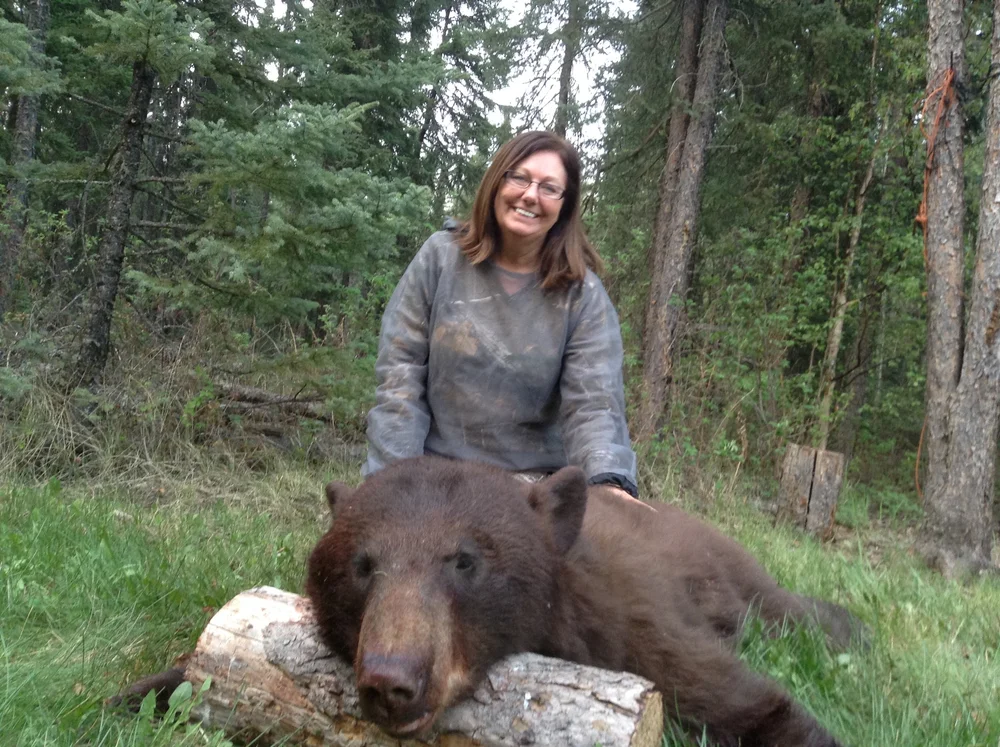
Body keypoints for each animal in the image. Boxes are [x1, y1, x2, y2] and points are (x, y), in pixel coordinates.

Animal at [306, 455, 863, 747]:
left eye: (464, 561)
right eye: (361, 566)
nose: (391, 681)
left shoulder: (639, 628)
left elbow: (751, 704)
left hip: (727, 568)